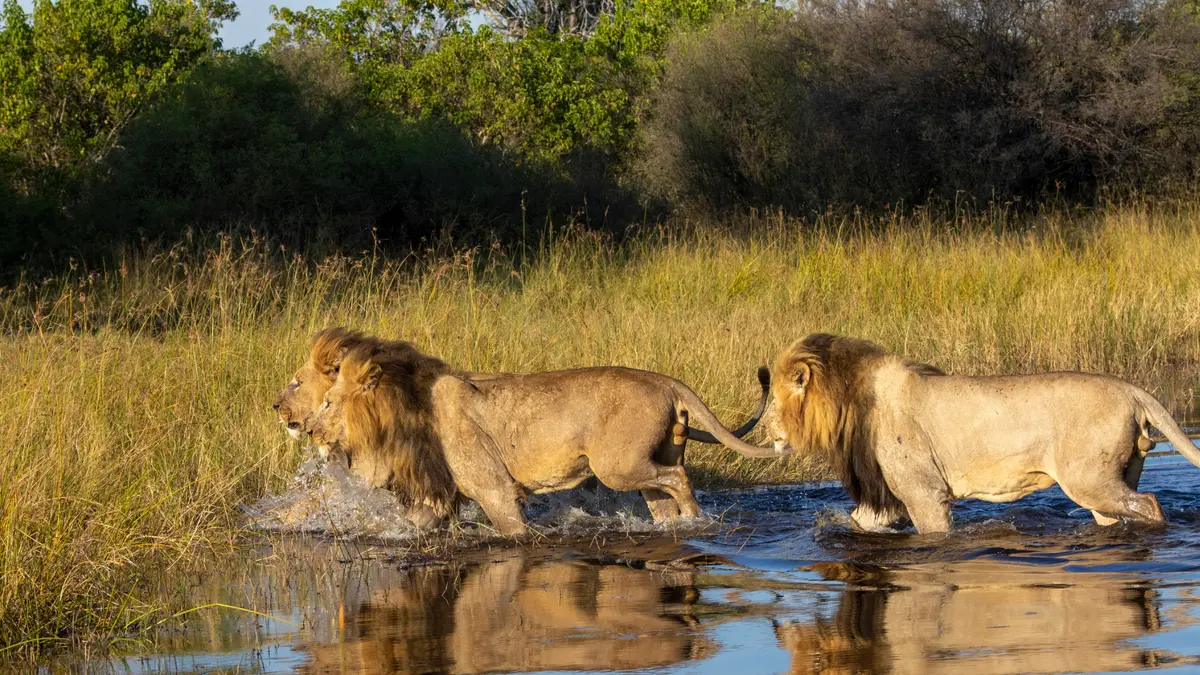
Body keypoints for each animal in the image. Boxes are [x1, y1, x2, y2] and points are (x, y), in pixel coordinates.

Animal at [305, 339, 785, 535]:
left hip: (616, 466)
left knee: (681, 480)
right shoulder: (444, 497)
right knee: (666, 492)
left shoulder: (493, 488)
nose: (307, 428)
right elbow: (415, 524)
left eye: (327, 403)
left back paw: (695, 520)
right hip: (647, 462)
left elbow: (512, 530)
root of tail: (667, 381)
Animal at [763, 333, 1200, 533]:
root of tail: (1132, 389)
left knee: (1150, 505)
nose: (766, 429)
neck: (849, 399)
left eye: (774, 400)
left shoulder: (924, 492)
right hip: (1108, 481)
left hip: (1088, 478)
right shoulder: (888, 496)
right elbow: (859, 522)